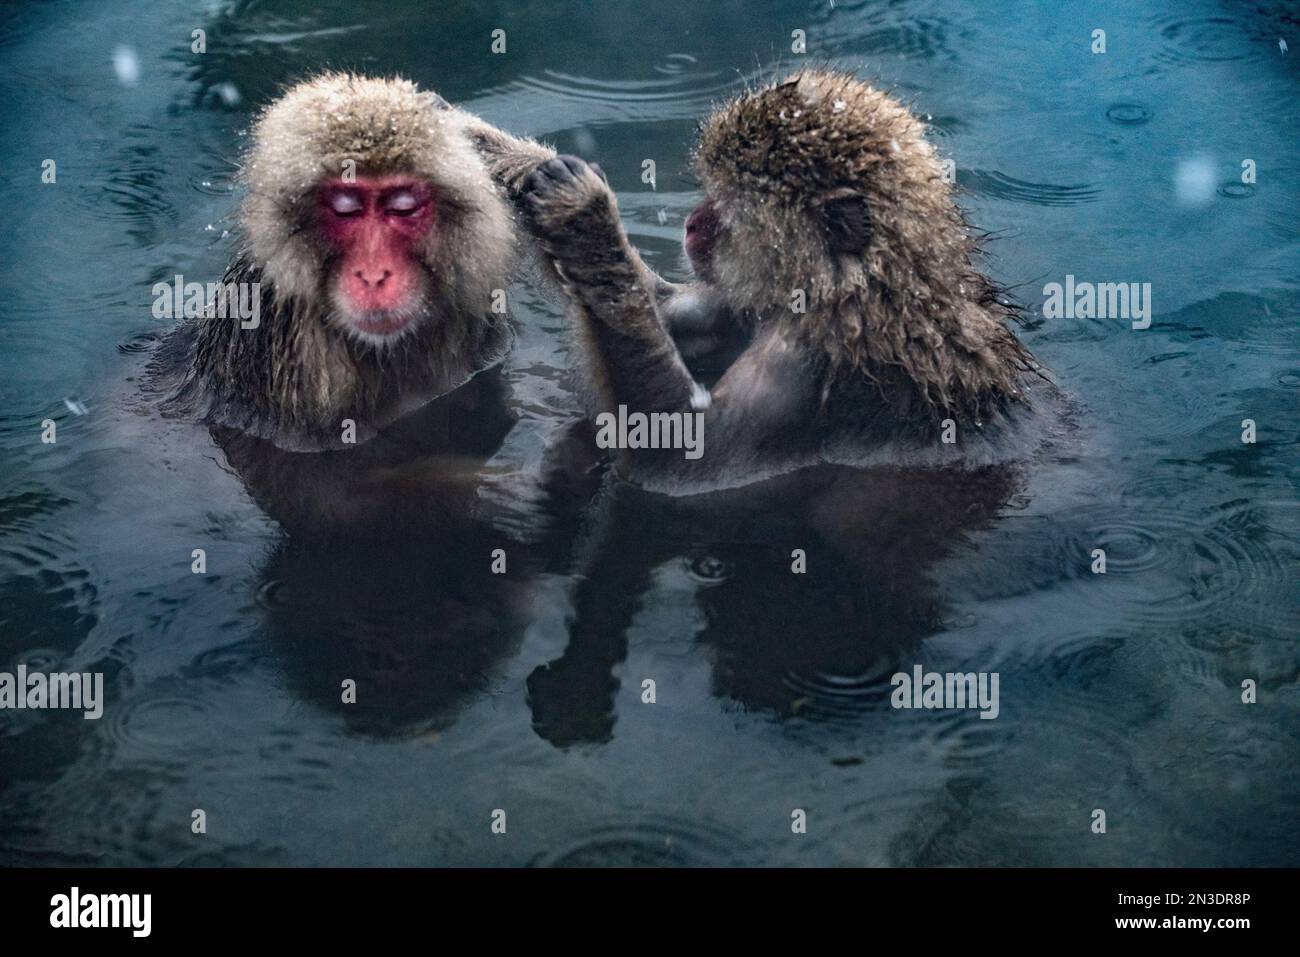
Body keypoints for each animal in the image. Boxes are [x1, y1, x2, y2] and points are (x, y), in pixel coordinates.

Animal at [511, 69, 1070, 492]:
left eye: (731, 203)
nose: (691, 224)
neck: (864, 290)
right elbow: (675, 315)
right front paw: (524, 167)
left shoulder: (801, 363)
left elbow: (684, 458)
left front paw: (583, 220)